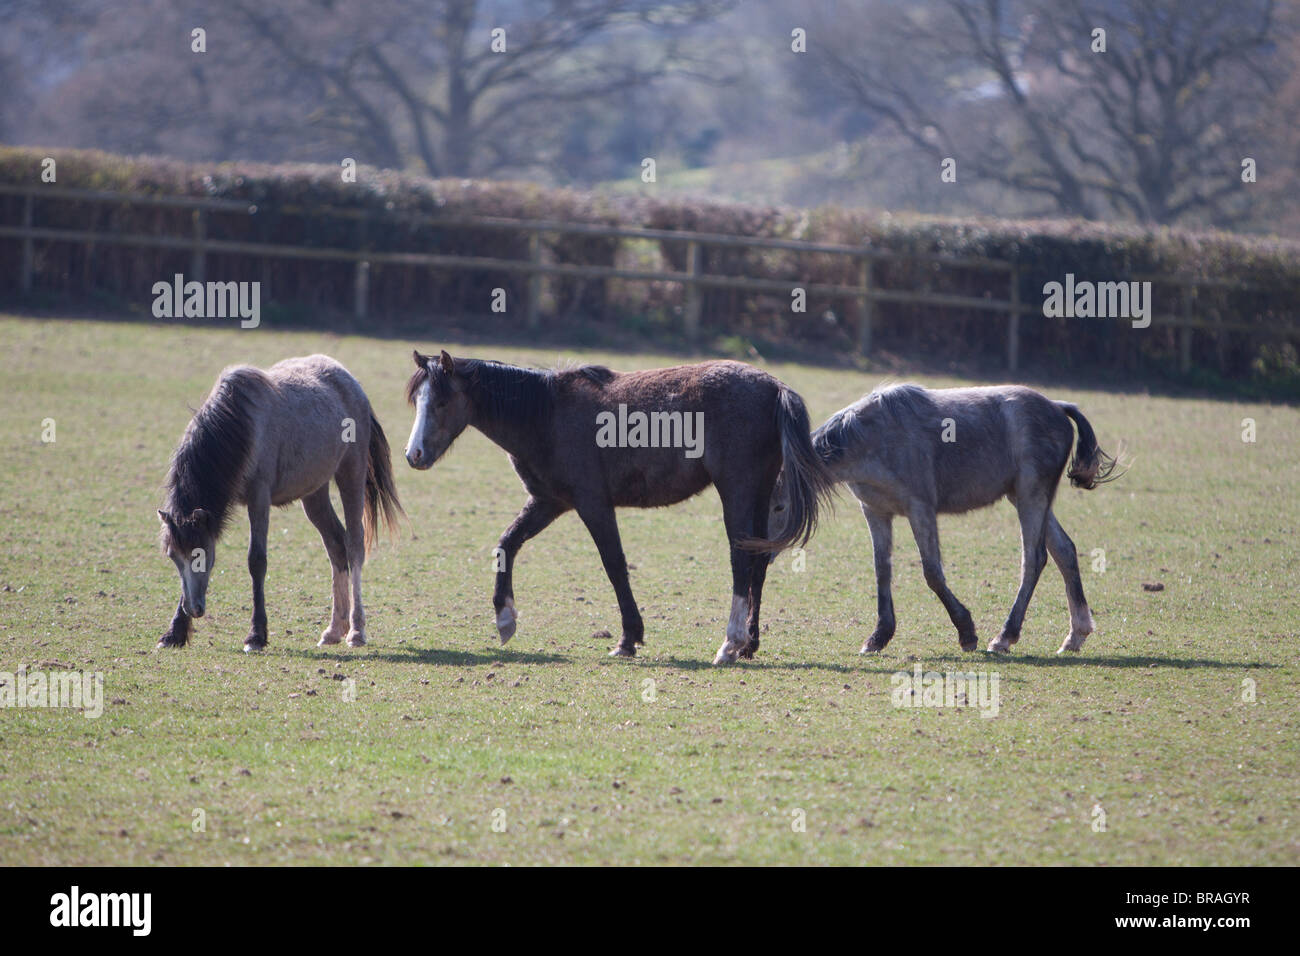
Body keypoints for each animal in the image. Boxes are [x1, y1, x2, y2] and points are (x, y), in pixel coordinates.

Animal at [156, 354, 403, 652]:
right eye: (173, 556)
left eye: (199, 556)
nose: (194, 609)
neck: (240, 426)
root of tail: (352, 384)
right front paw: (174, 632)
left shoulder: (259, 498)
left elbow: (256, 560)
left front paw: (256, 635)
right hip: (315, 492)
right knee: (336, 546)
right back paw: (334, 629)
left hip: (351, 474)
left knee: (354, 545)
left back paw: (356, 631)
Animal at [403, 350, 835, 664]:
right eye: (417, 401)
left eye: (441, 400)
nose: (414, 455)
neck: (547, 415)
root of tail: (775, 387)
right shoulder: (548, 503)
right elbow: (506, 545)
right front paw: (505, 618)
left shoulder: (592, 504)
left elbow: (614, 565)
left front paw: (628, 638)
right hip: (758, 494)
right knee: (758, 563)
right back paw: (748, 644)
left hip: (738, 492)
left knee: (741, 562)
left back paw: (729, 644)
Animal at [768, 383, 1121, 655]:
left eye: (779, 507)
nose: (762, 552)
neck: (874, 436)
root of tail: (1058, 408)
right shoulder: (876, 512)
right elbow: (882, 571)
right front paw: (878, 637)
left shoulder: (920, 509)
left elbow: (932, 573)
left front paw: (967, 633)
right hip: (1027, 498)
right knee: (1065, 551)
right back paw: (1075, 636)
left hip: (1031, 497)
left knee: (1034, 559)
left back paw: (1004, 637)